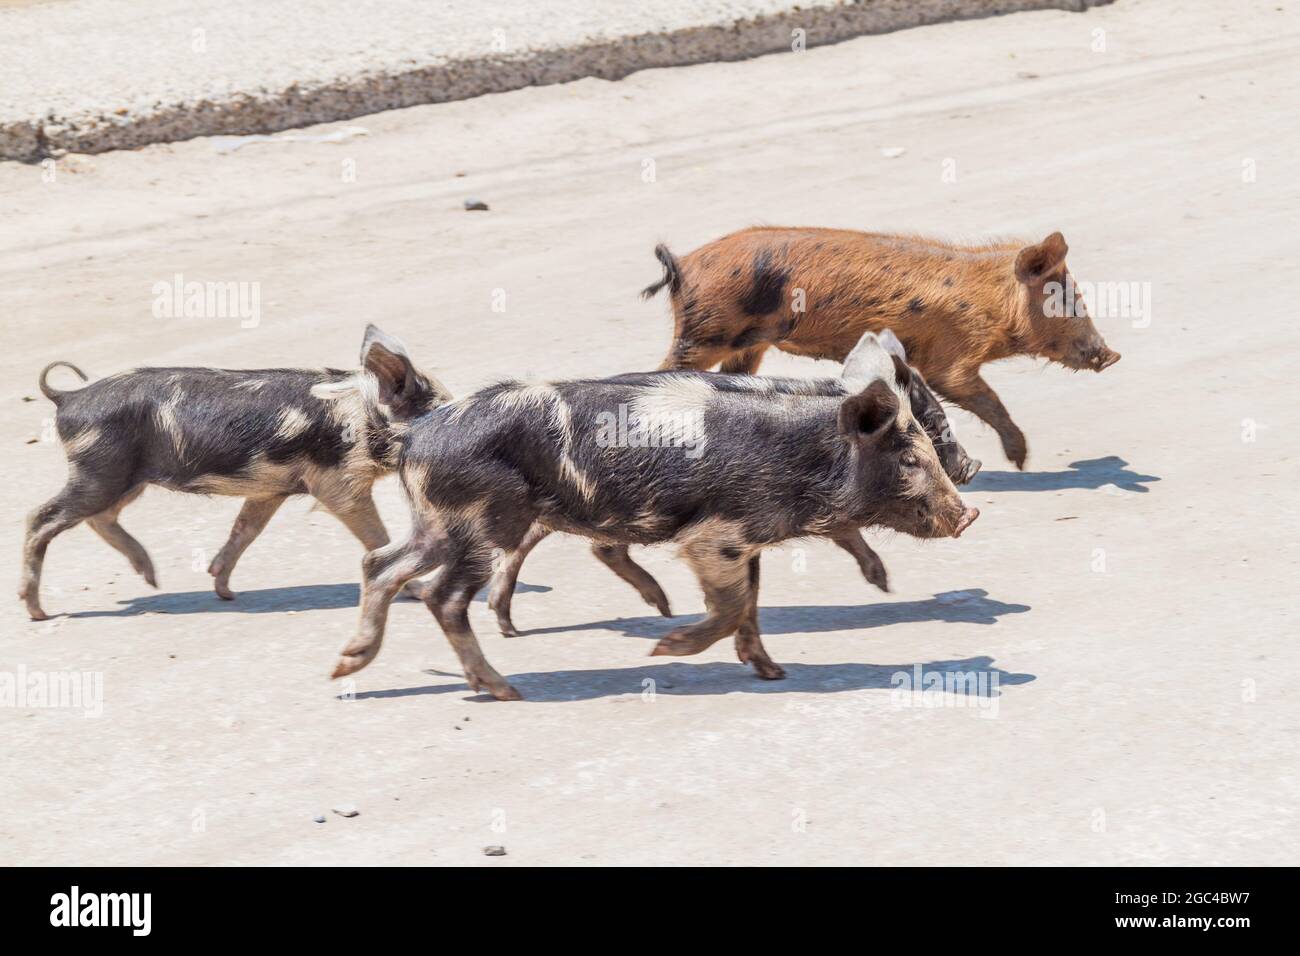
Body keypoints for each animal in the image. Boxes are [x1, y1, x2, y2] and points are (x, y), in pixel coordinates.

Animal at [19, 328, 450, 620]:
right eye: (438, 410)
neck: (362, 418)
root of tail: (68, 398)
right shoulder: (338, 485)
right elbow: (376, 537)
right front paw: (416, 589)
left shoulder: (270, 489)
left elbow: (246, 529)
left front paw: (223, 589)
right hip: (100, 470)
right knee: (41, 516)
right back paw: (38, 612)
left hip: (124, 479)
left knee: (99, 518)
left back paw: (152, 579)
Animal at [484, 327, 980, 637]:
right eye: (936, 425)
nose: (972, 471)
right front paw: (885, 585)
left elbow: (847, 533)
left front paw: (883, 583)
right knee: (580, 546)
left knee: (549, 544)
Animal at [642, 227, 1121, 469]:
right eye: (1063, 299)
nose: (1112, 354)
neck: (987, 301)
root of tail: (683, 265)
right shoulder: (951, 359)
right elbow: (986, 398)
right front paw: (1021, 461)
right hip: (706, 331)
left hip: (746, 343)